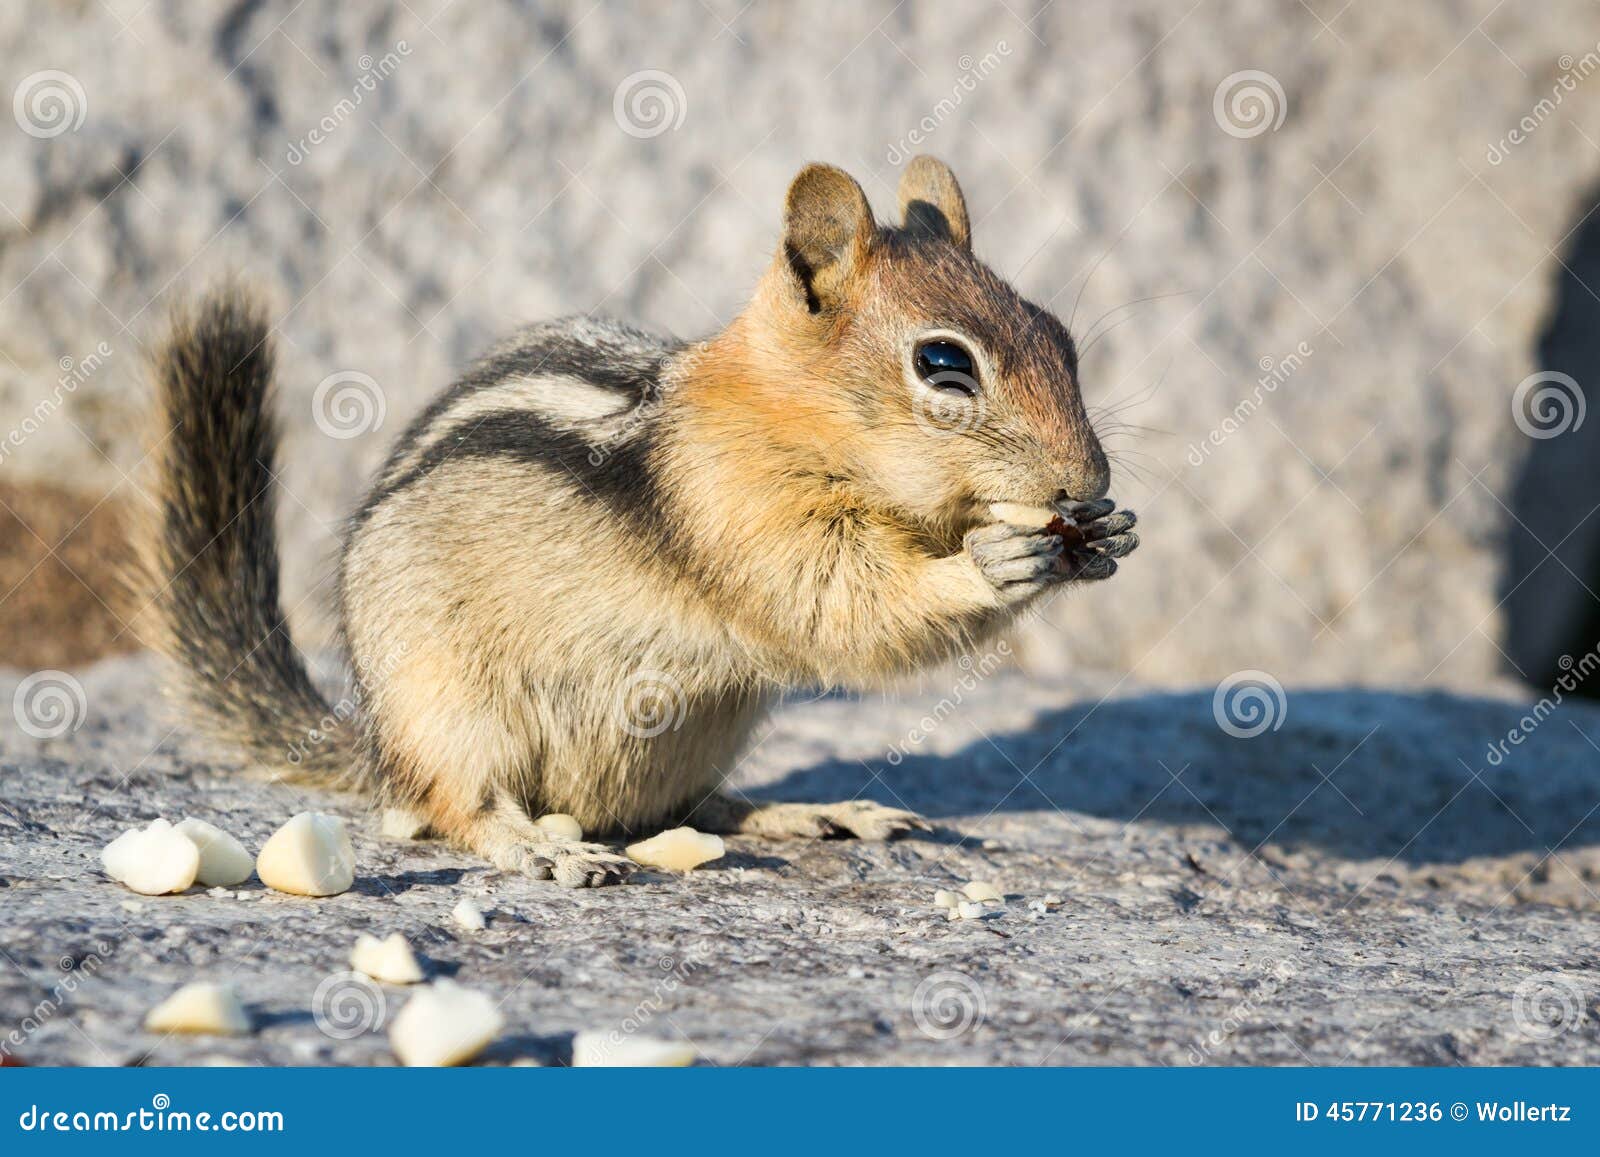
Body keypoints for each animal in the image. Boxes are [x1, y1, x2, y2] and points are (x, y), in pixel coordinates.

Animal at [133, 156, 1137, 888]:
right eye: (942, 363)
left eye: (1060, 335)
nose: (1086, 481)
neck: (785, 415)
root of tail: (375, 743)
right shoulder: (745, 513)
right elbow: (846, 611)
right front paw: (996, 560)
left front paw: (1104, 538)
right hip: (447, 707)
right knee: (460, 807)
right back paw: (540, 845)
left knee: (691, 810)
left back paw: (813, 812)